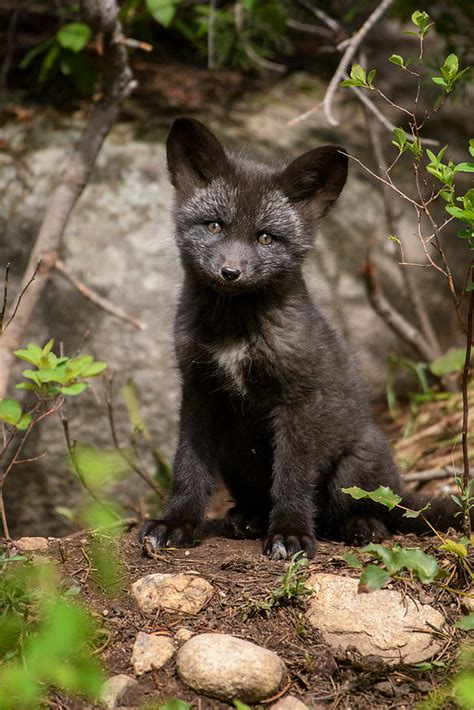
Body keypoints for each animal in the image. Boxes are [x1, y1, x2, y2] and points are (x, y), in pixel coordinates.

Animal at [140, 117, 469, 560]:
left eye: (265, 237)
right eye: (214, 226)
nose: (230, 272)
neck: (236, 331)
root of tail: (399, 488)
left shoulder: (296, 401)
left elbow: (293, 477)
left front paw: (290, 532)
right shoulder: (199, 392)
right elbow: (187, 469)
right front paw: (176, 523)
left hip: (354, 470)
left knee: (370, 512)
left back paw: (361, 526)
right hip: (233, 456)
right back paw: (249, 518)